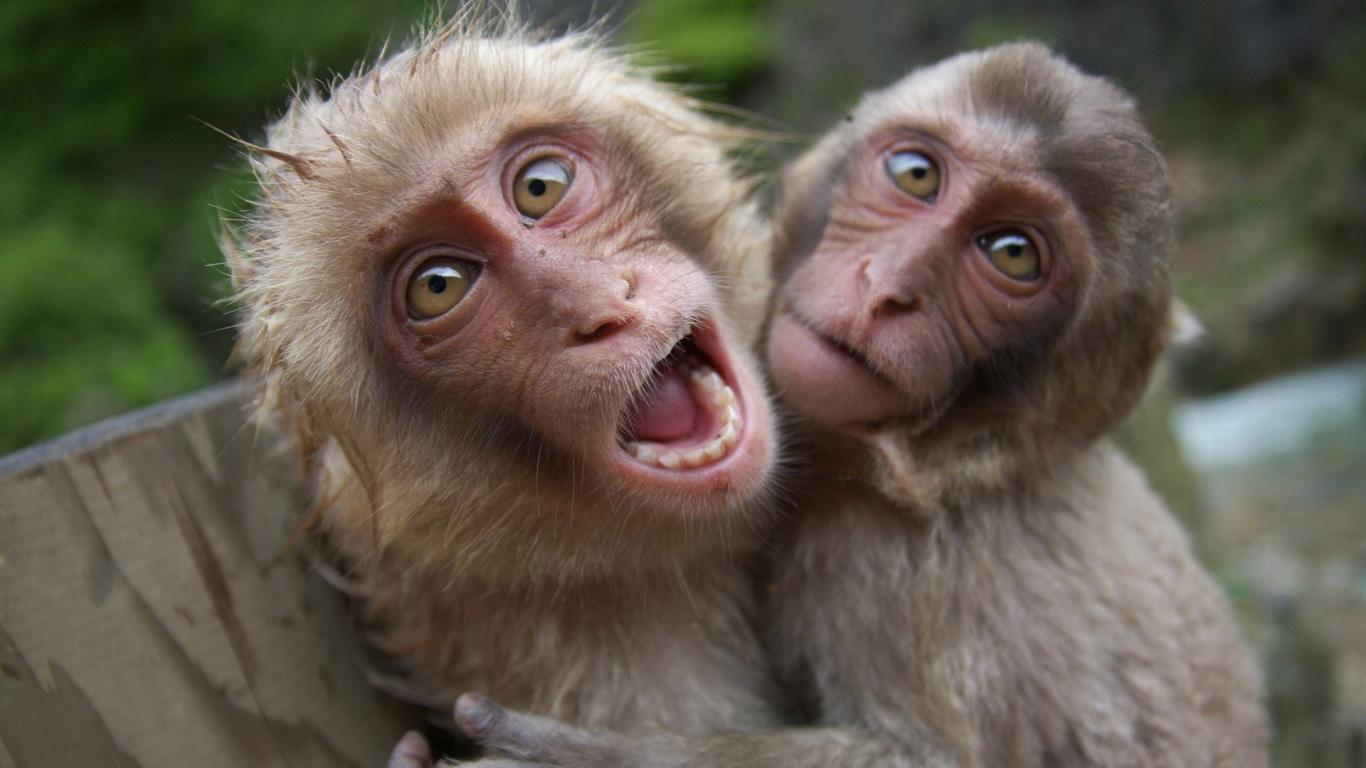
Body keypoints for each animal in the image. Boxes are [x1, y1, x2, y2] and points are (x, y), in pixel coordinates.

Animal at [448, 43, 1271, 768]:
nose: (887, 287)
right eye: (916, 174)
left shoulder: (894, 563)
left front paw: (594, 755)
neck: (932, 464)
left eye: (1013, 253)